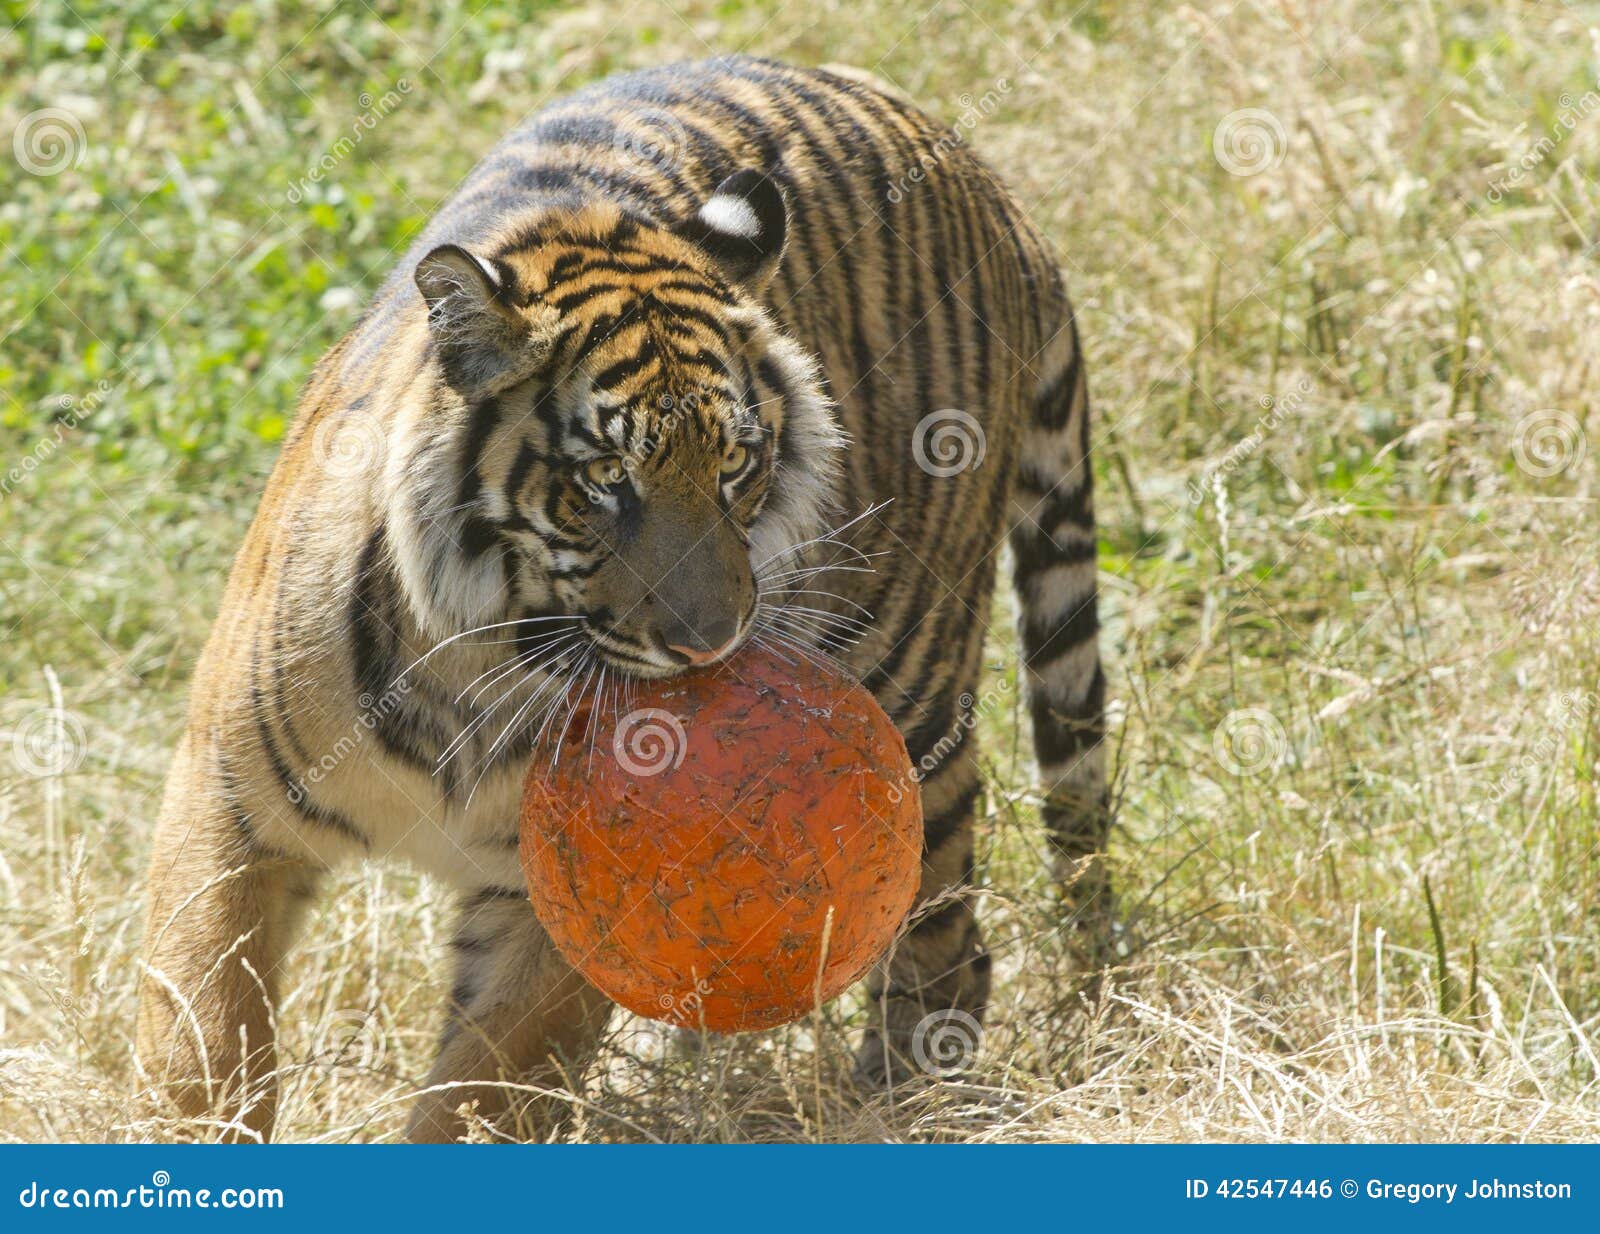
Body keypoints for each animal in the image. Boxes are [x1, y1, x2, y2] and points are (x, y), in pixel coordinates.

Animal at [135, 54, 1107, 1142]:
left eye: (736, 467)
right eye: (606, 479)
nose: (712, 642)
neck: (479, 667)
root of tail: (985, 181)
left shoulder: (560, 890)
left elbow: (483, 1088)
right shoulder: (226, 806)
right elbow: (198, 1035)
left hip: (908, 684)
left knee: (949, 942)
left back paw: (899, 1099)